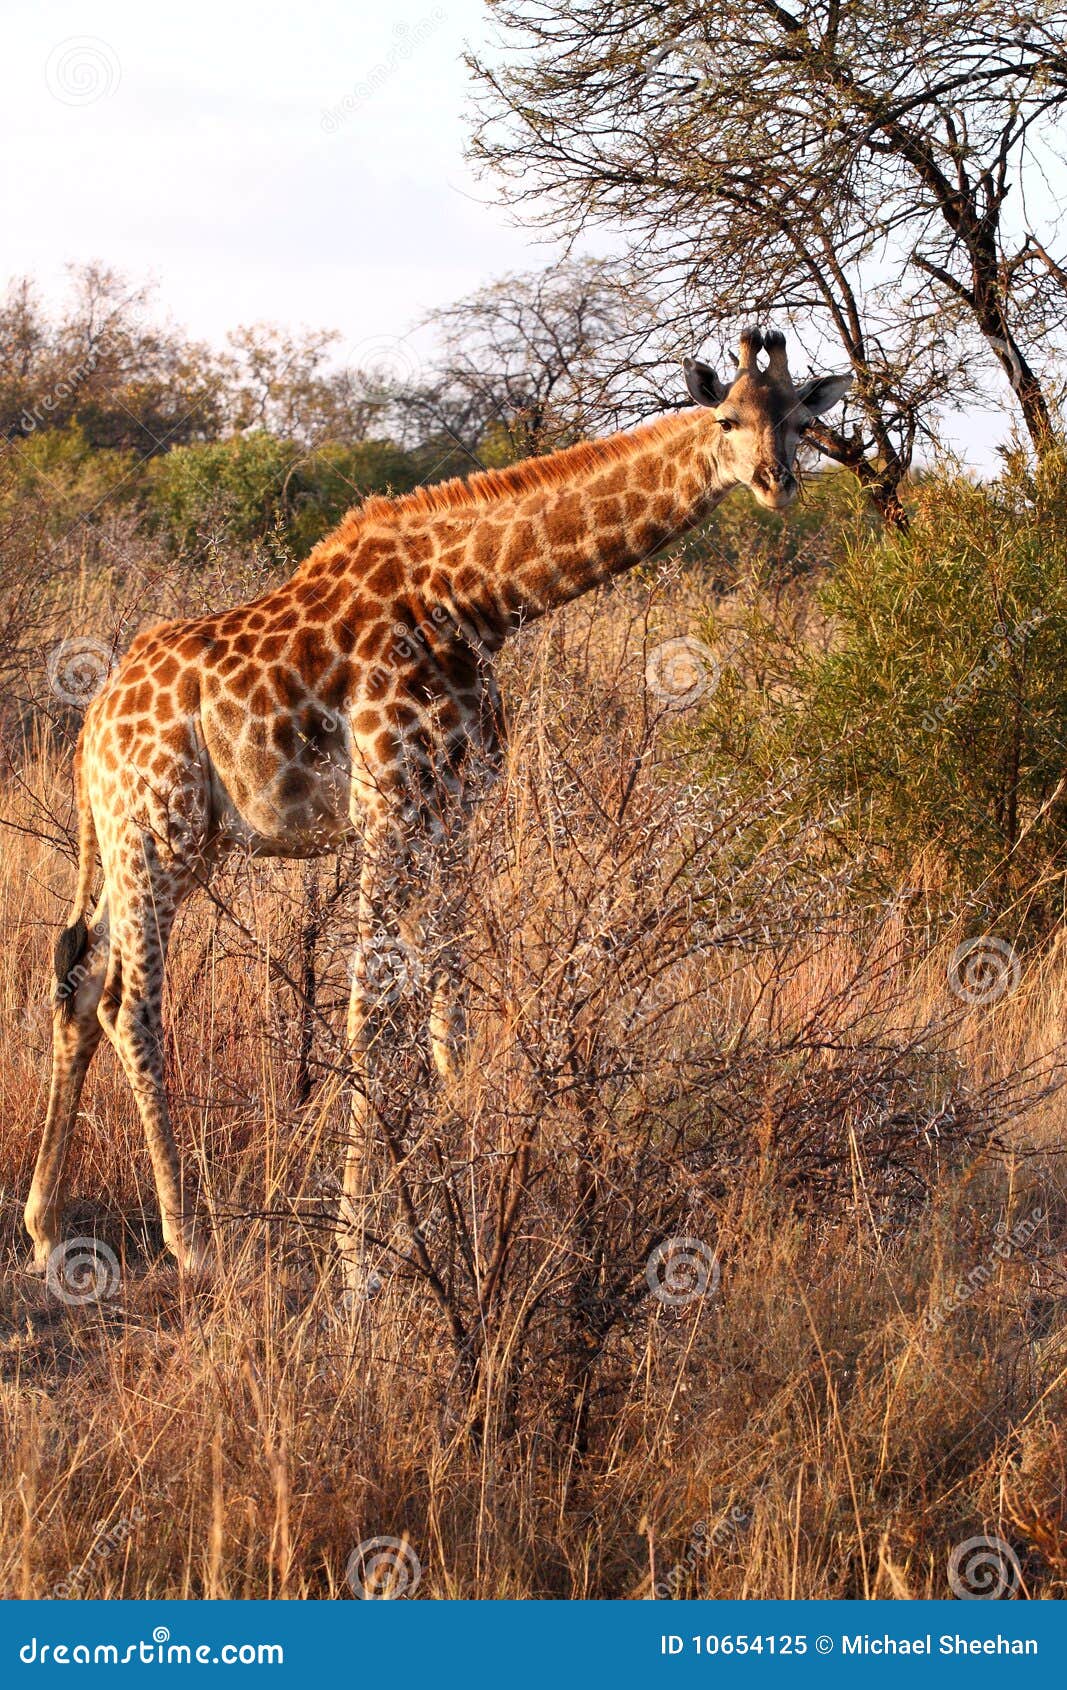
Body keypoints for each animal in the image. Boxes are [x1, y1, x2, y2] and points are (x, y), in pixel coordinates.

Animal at [24, 327, 850, 1286]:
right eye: (726, 419)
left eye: (797, 418)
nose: (776, 482)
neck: (478, 600)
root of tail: (92, 725)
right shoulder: (386, 805)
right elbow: (369, 1014)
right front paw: (358, 1257)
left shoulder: (453, 813)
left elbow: (445, 1016)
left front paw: (465, 1208)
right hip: (157, 829)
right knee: (129, 1001)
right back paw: (191, 1240)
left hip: (169, 841)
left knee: (81, 975)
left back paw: (45, 1228)